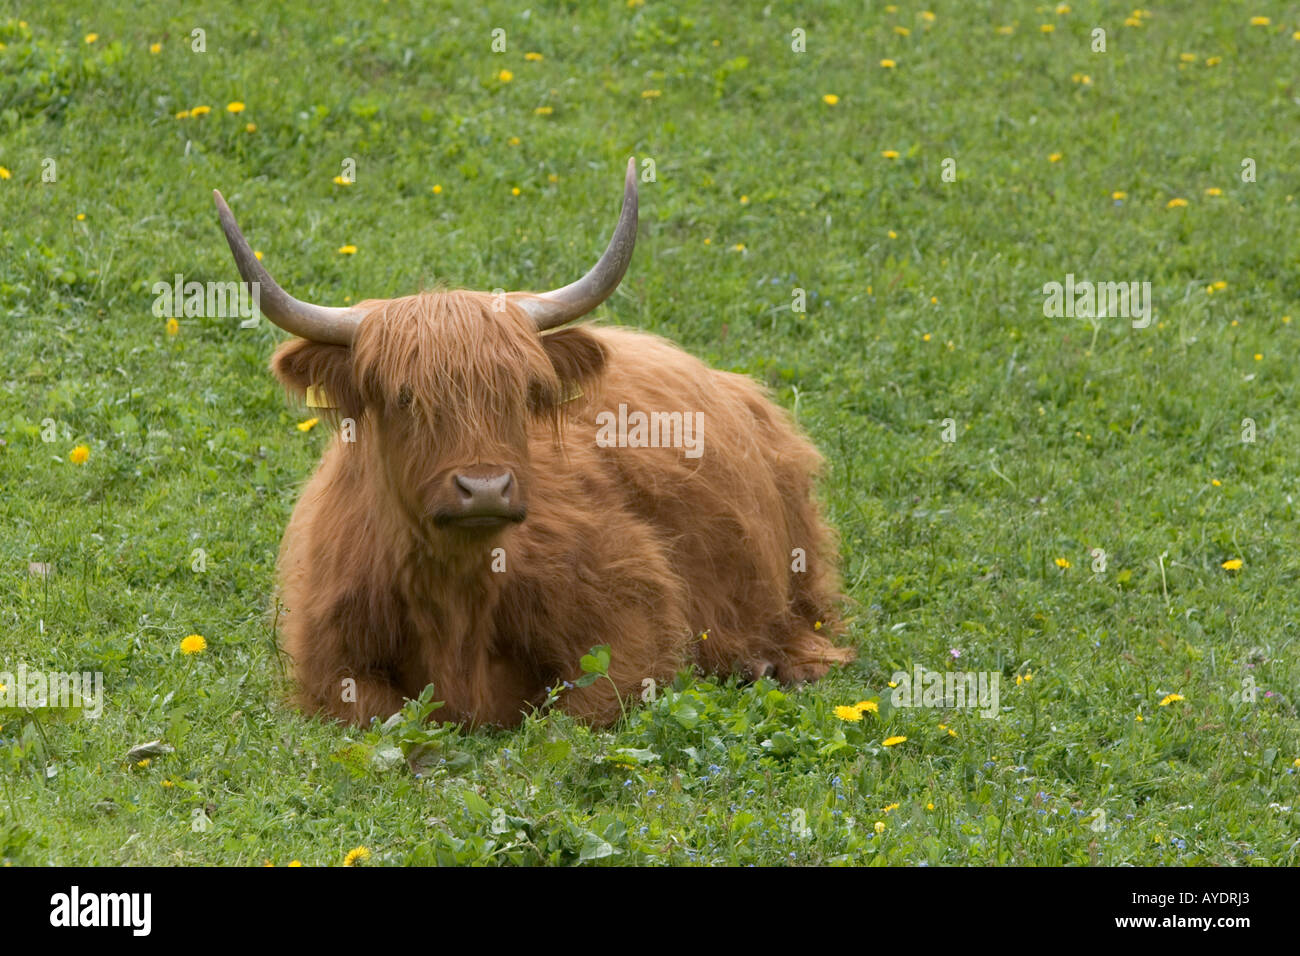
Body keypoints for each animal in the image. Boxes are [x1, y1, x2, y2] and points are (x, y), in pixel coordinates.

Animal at [213, 158, 854, 728]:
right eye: (403, 397)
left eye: (523, 392)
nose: (484, 488)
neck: (457, 595)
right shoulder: (326, 661)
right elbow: (387, 720)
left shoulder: (637, 623)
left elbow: (568, 716)